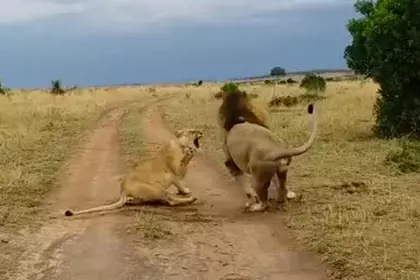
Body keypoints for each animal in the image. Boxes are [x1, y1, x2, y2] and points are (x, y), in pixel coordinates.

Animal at [64, 128, 203, 218]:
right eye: (192, 131)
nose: (201, 131)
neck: (180, 144)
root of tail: (123, 190)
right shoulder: (175, 171)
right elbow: (179, 179)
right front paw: (185, 191)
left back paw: (131, 201)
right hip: (157, 189)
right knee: (171, 200)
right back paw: (192, 199)